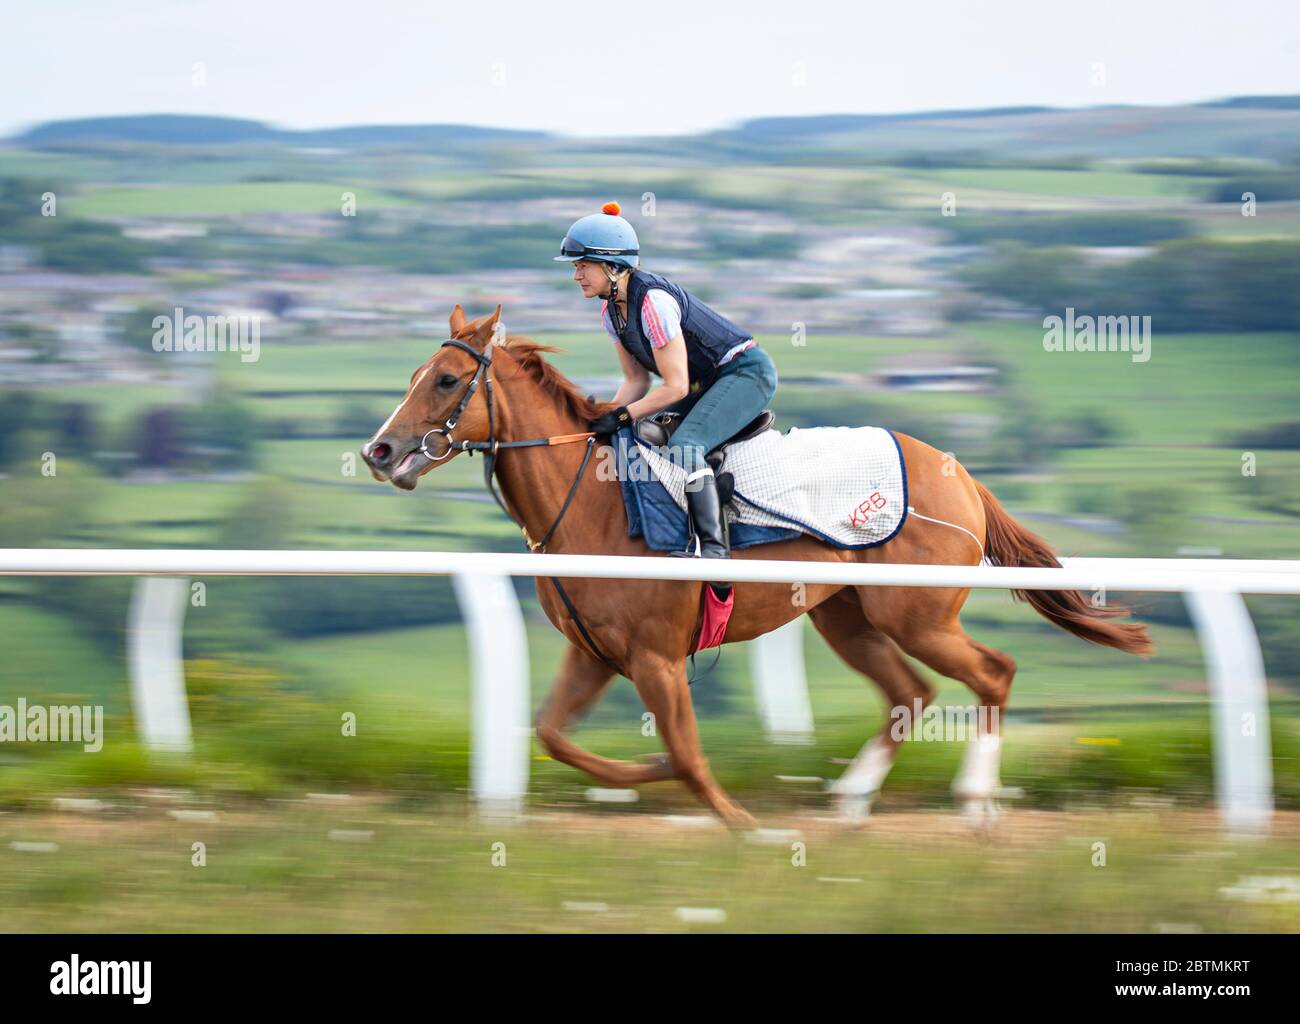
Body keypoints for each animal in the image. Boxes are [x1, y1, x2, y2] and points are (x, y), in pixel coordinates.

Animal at [361, 305, 1154, 828]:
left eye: (445, 381)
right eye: (415, 373)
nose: (379, 452)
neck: (593, 501)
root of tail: (958, 473)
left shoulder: (655, 656)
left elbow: (685, 753)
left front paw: (740, 823)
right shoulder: (594, 652)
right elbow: (554, 735)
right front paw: (638, 777)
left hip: (917, 612)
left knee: (992, 673)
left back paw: (974, 802)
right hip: (848, 616)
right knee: (912, 693)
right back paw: (852, 799)